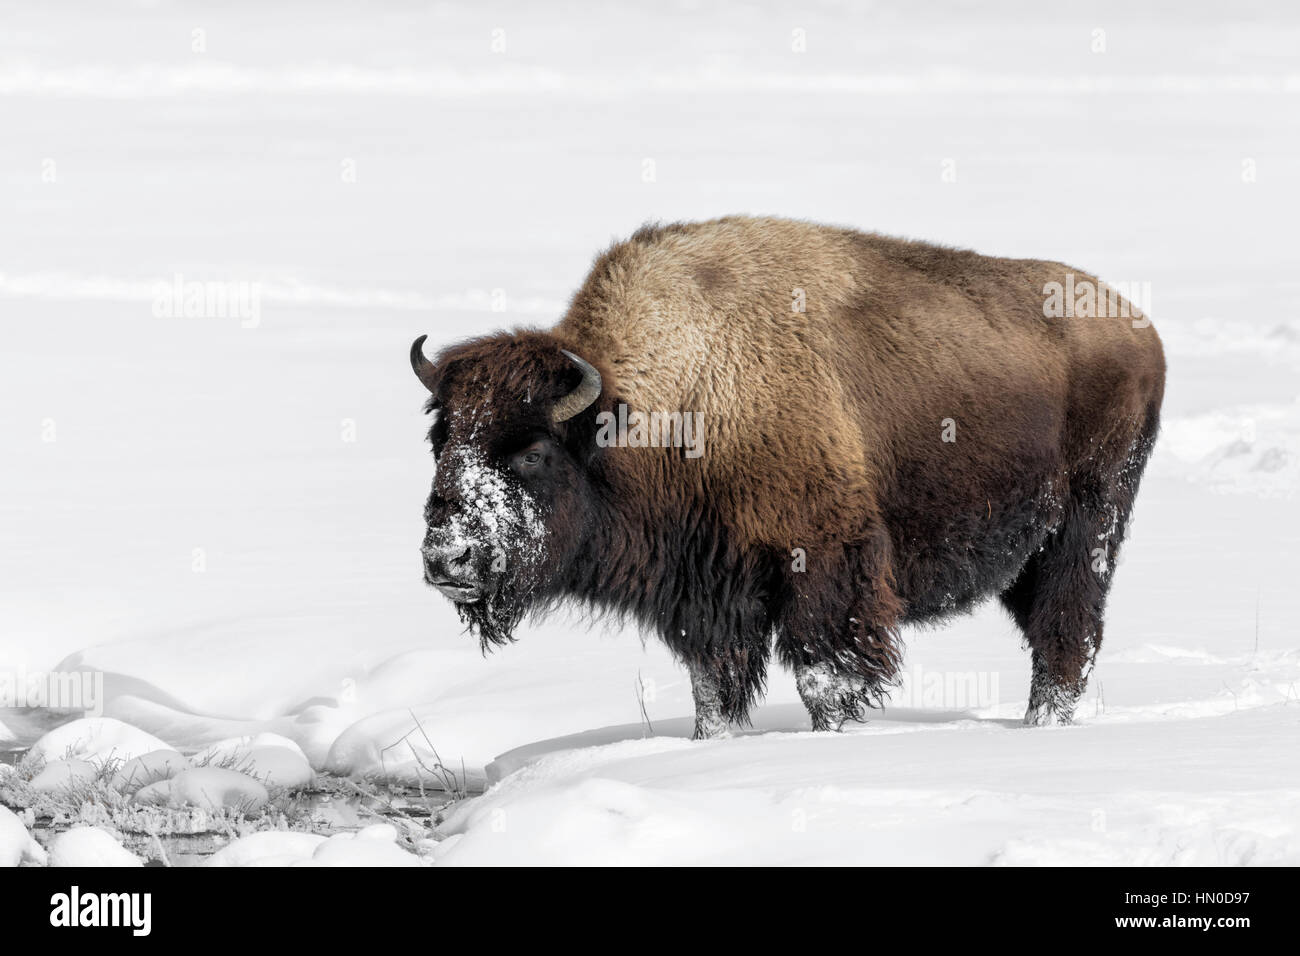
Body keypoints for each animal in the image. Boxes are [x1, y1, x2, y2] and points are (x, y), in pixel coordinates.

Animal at [411, 216, 1165, 735]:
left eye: (532, 451)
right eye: (441, 438)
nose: (447, 558)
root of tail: (1139, 329)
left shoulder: (828, 570)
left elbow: (825, 680)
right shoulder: (709, 597)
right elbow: (714, 692)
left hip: (1084, 531)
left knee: (1066, 636)